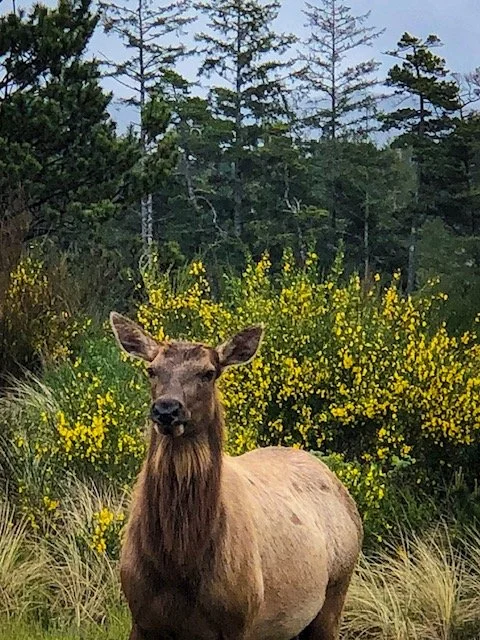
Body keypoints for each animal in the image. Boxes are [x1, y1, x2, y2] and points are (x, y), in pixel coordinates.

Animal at [110, 312, 363, 640]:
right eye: (151, 370)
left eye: (208, 373)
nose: (166, 409)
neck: (178, 563)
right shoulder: (140, 618)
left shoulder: (240, 617)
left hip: (336, 590)